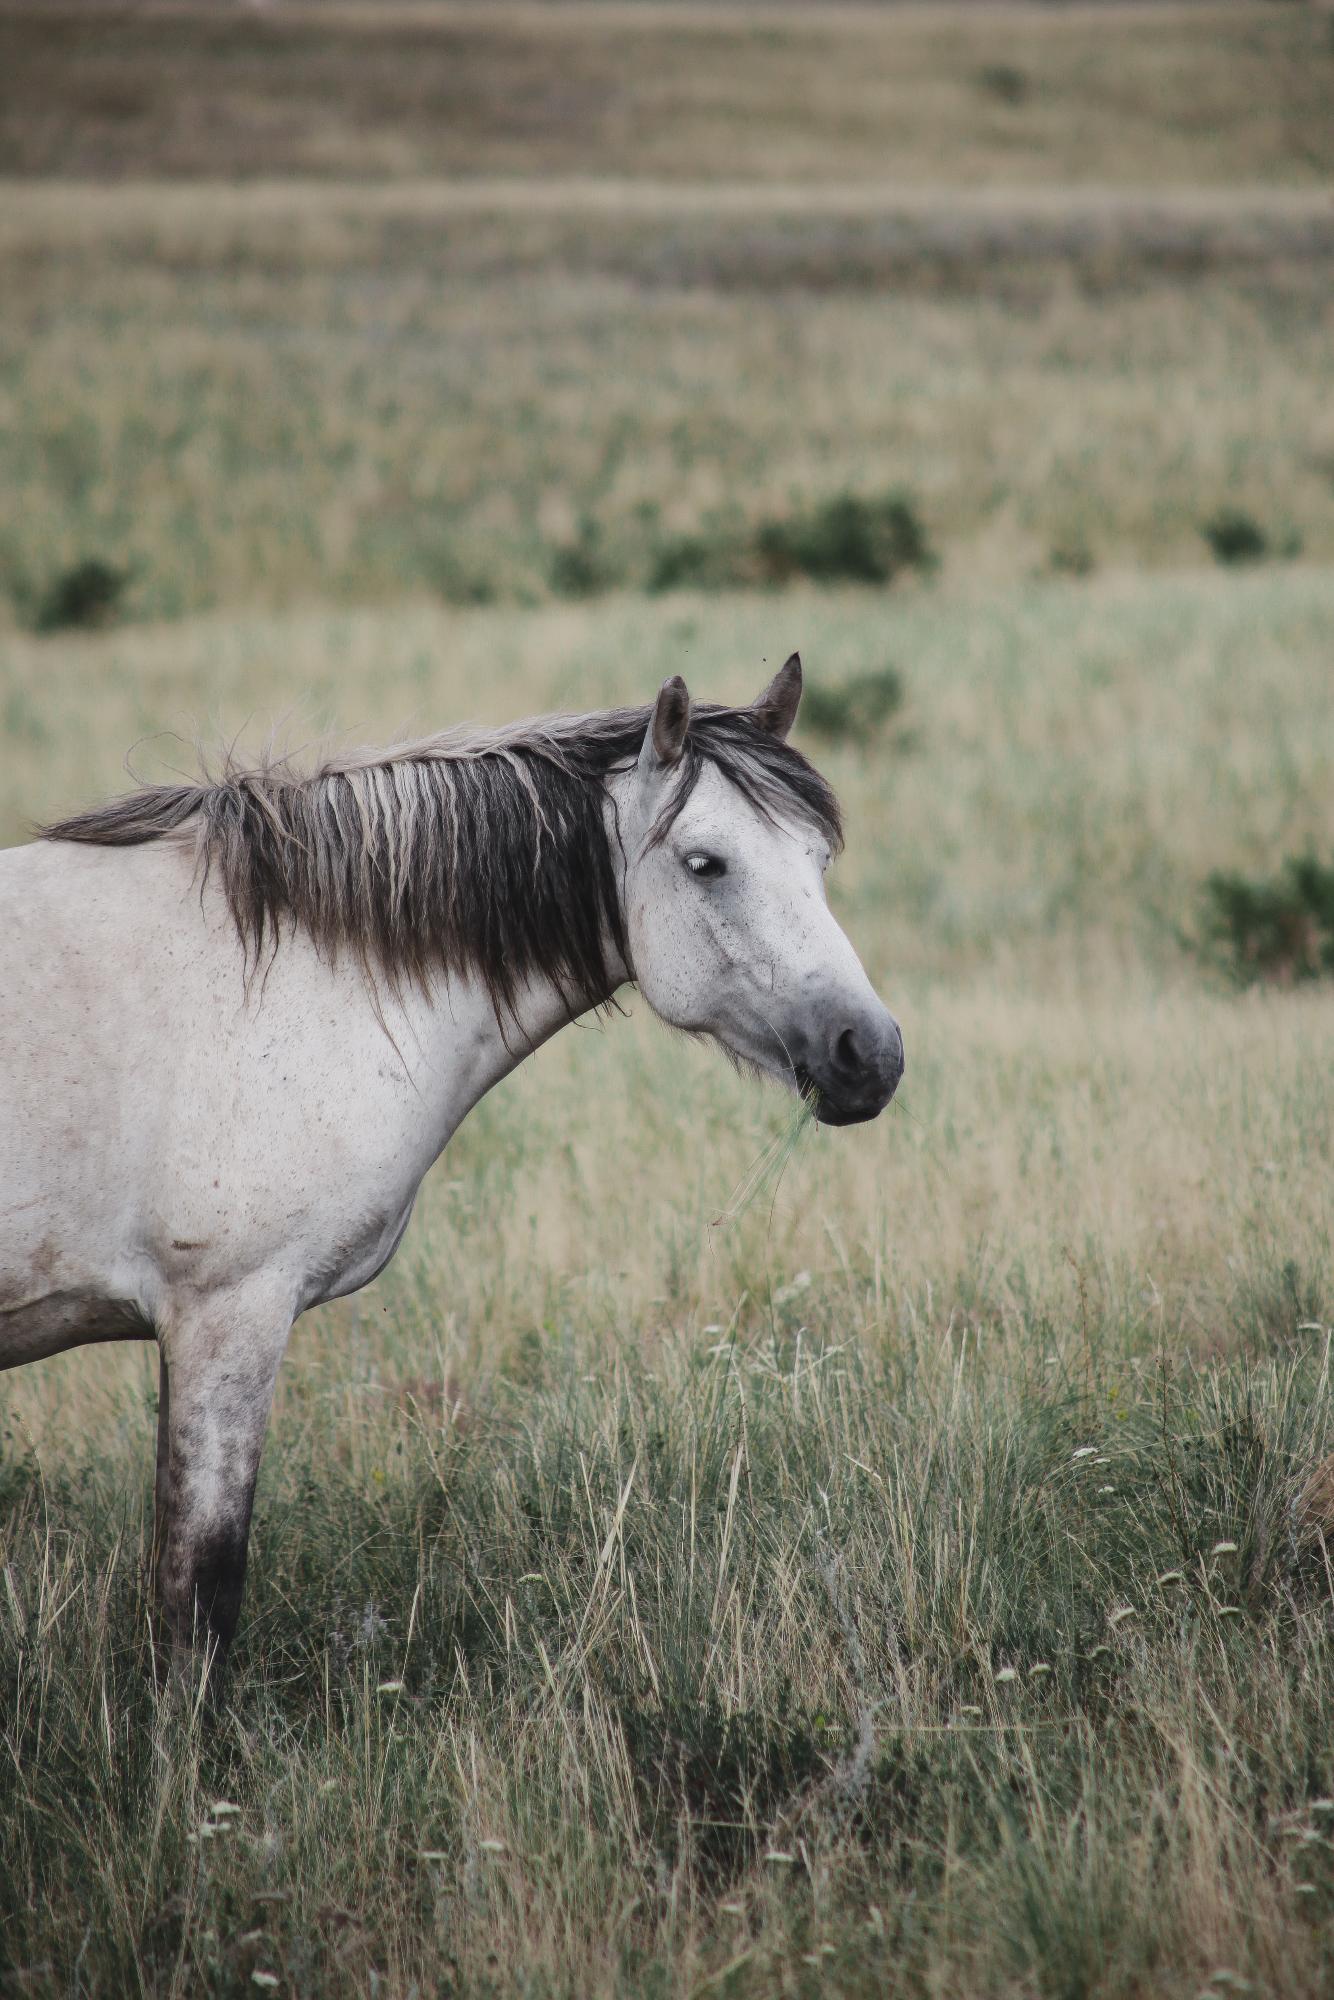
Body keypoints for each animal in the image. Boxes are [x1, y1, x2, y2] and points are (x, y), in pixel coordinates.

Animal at [0, 660, 904, 1672]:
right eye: (706, 863)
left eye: (818, 860)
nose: (870, 1054)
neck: (288, 978)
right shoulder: (225, 1314)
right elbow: (201, 1595)